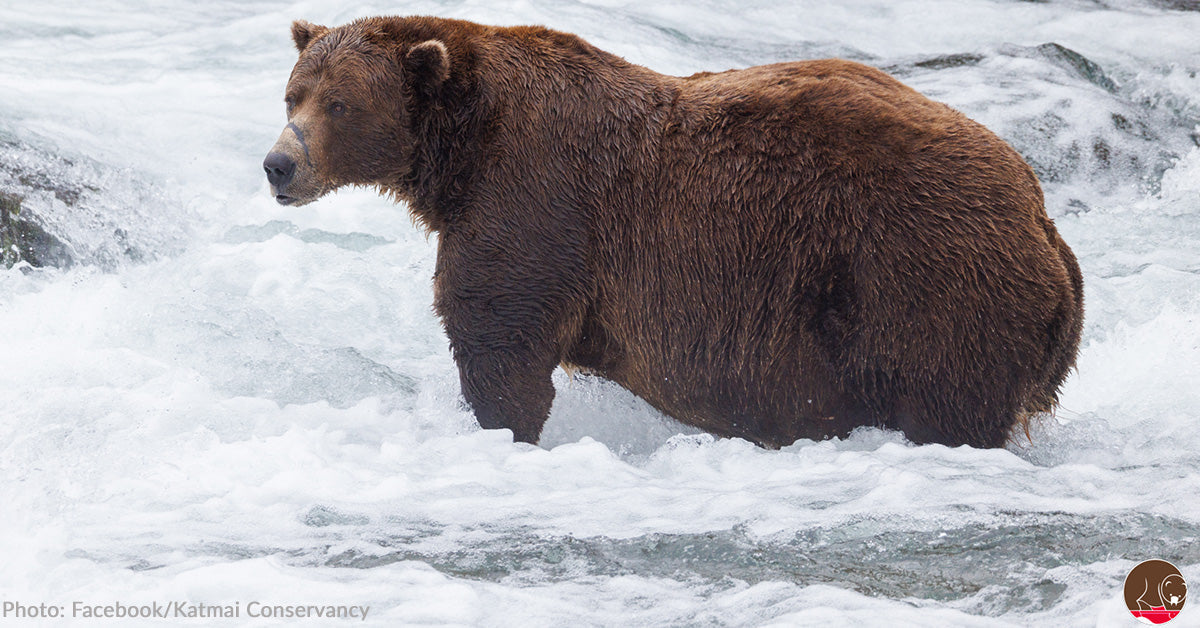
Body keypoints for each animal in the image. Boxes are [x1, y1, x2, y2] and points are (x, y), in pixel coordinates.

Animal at [263, 16, 1084, 449]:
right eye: (293, 93)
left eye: (339, 103)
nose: (278, 163)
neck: (456, 150)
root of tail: (1046, 229)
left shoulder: (534, 198)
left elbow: (500, 332)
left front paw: (507, 427)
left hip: (923, 285)